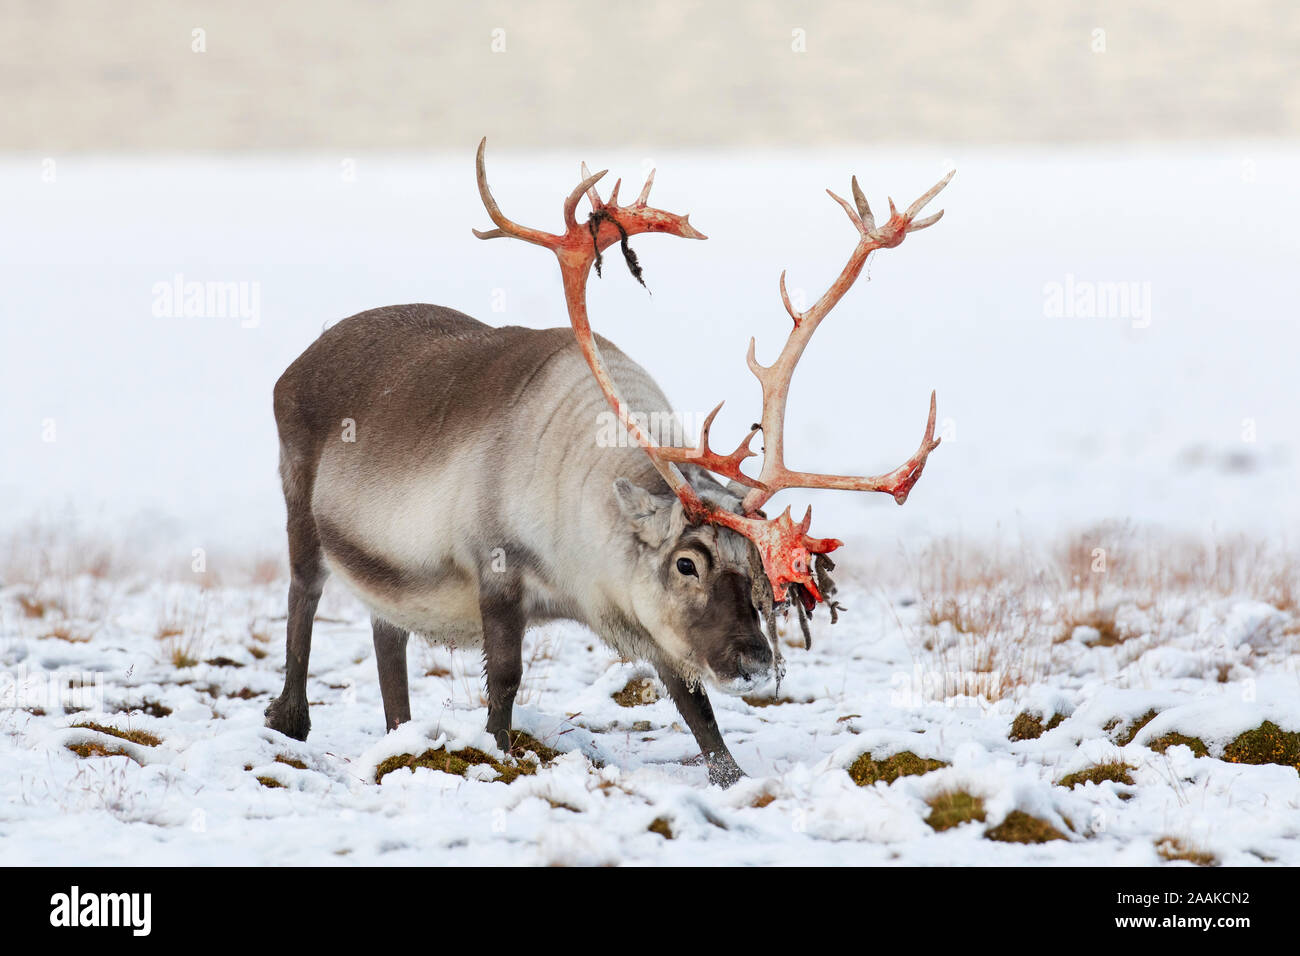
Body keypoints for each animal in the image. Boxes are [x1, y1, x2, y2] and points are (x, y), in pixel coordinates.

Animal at [264, 139, 952, 786]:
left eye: (757, 567)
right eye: (687, 563)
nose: (756, 664)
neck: (574, 558)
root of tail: (296, 362)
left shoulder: (644, 618)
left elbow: (693, 703)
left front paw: (730, 776)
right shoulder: (496, 566)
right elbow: (505, 678)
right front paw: (498, 752)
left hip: (390, 575)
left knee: (388, 636)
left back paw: (398, 732)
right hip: (297, 497)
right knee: (304, 594)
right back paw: (290, 718)